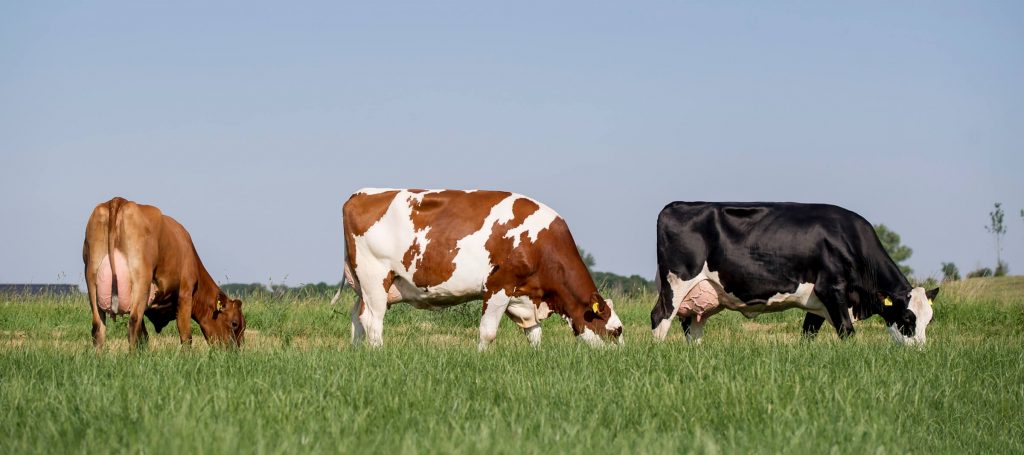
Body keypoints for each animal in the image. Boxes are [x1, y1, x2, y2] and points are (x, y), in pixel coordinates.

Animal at [83, 197, 245, 349]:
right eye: (235, 323)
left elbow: (144, 336)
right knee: (133, 321)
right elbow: (186, 335)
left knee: (98, 327)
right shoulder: (185, 293)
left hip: (91, 277)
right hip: (141, 279)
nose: (236, 352)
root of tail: (119, 200)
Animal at [341, 188, 623, 350]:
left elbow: (534, 334)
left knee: (357, 318)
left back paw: (358, 353)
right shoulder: (499, 285)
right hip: (375, 277)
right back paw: (378, 353)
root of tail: (362, 193)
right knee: (373, 320)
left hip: (363, 285)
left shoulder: (523, 296)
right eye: (616, 330)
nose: (621, 359)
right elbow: (488, 332)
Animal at [650, 202, 939, 345]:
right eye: (907, 318)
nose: (919, 351)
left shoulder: (818, 301)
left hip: (703, 294)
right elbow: (846, 331)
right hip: (677, 283)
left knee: (692, 326)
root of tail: (675, 205)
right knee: (660, 317)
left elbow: (808, 334)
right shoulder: (832, 289)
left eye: (929, 320)